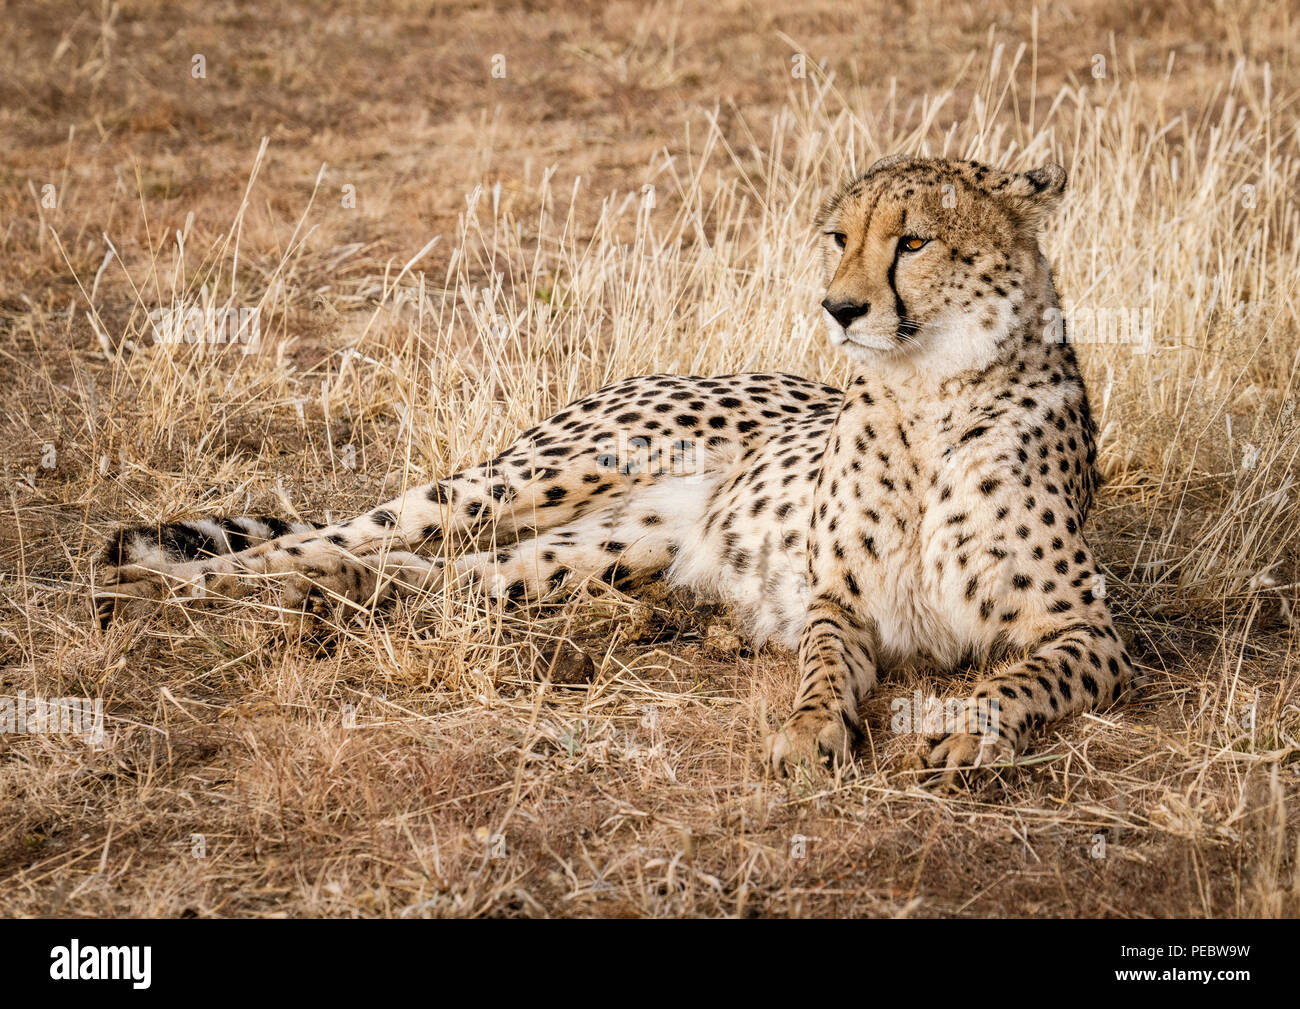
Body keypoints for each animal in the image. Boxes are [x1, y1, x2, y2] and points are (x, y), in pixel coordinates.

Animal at [95, 154, 1133, 784]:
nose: (838, 307)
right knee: (325, 537)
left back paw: (330, 599)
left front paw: (962, 726)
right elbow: (823, 666)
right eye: (841, 237)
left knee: (415, 574)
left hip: (591, 550)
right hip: (532, 478)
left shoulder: (1088, 632)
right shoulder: (837, 602)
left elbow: (1018, 681)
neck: (928, 397)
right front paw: (809, 731)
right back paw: (163, 586)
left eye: (914, 241)